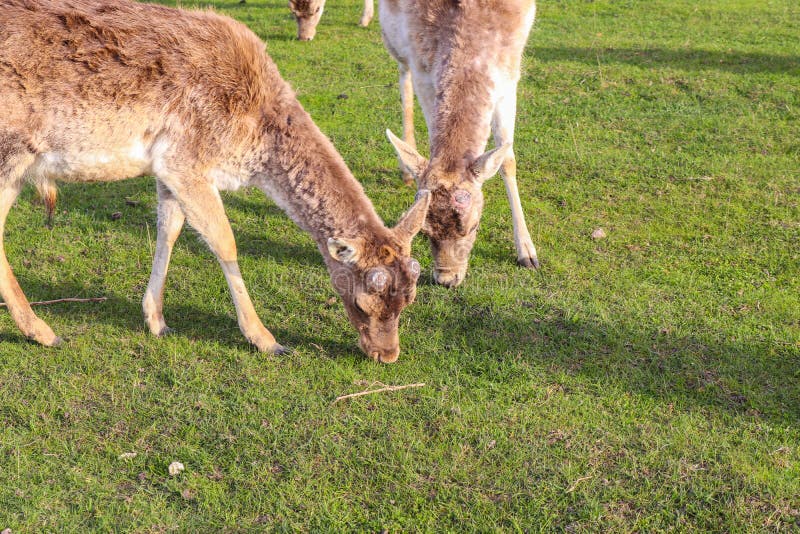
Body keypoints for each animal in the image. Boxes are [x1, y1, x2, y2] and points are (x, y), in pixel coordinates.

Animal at [0, 0, 430, 363]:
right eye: (361, 303)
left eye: (408, 300)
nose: (387, 354)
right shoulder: (187, 160)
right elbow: (225, 242)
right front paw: (266, 339)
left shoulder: (167, 168)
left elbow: (169, 229)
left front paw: (156, 319)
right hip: (11, 152)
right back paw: (42, 330)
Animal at [380, 0, 540, 287]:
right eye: (425, 230)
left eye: (473, 226)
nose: (447, 279)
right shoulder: (423, 70)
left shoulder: (510, 76)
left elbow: (507, 160)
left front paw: (527, 253)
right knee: (402, 74)